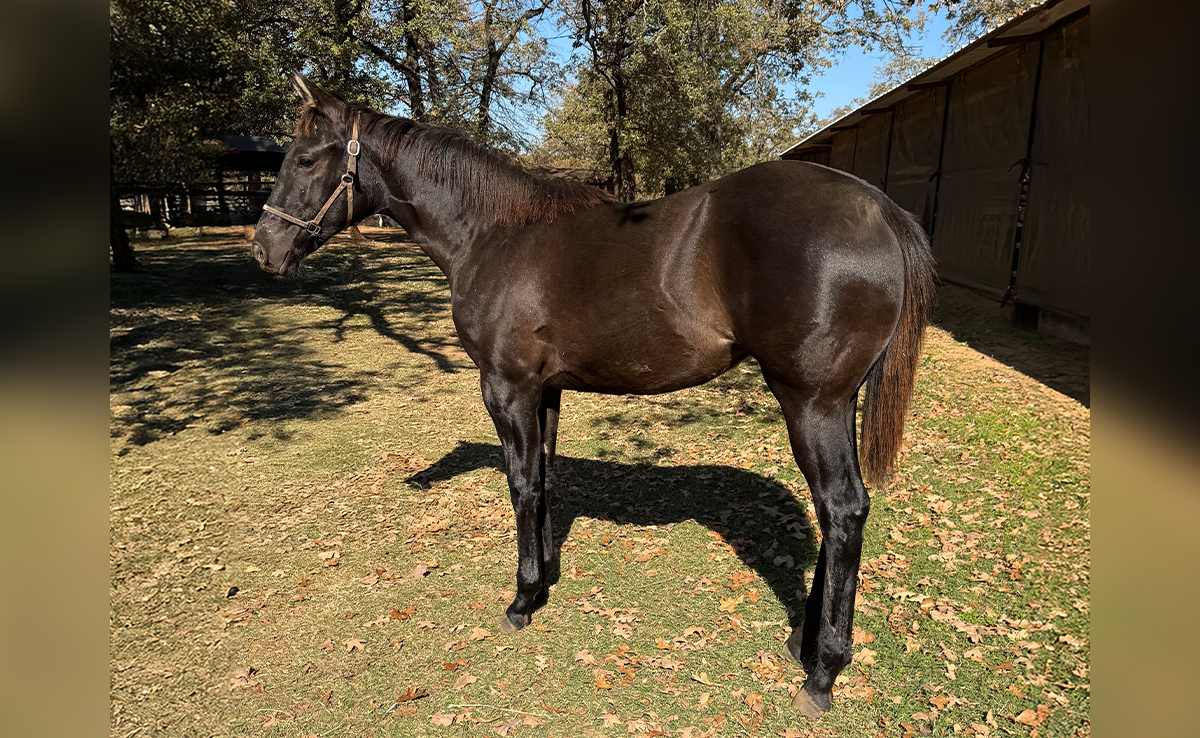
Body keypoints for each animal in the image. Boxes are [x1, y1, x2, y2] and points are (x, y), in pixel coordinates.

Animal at [250, 73, 936, 717]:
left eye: (305, 158)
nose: (263, 249)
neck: (495, 236)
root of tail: (880, 209)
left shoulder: (506, 387)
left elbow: (522, 484)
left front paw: (523, 598)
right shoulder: (545, 391)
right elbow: (545, 478)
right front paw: (547, 576)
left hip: (811, 401)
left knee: (842, 510)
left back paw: (822, 672)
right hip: (835, 403)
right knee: (839, 510)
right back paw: (803, 641)